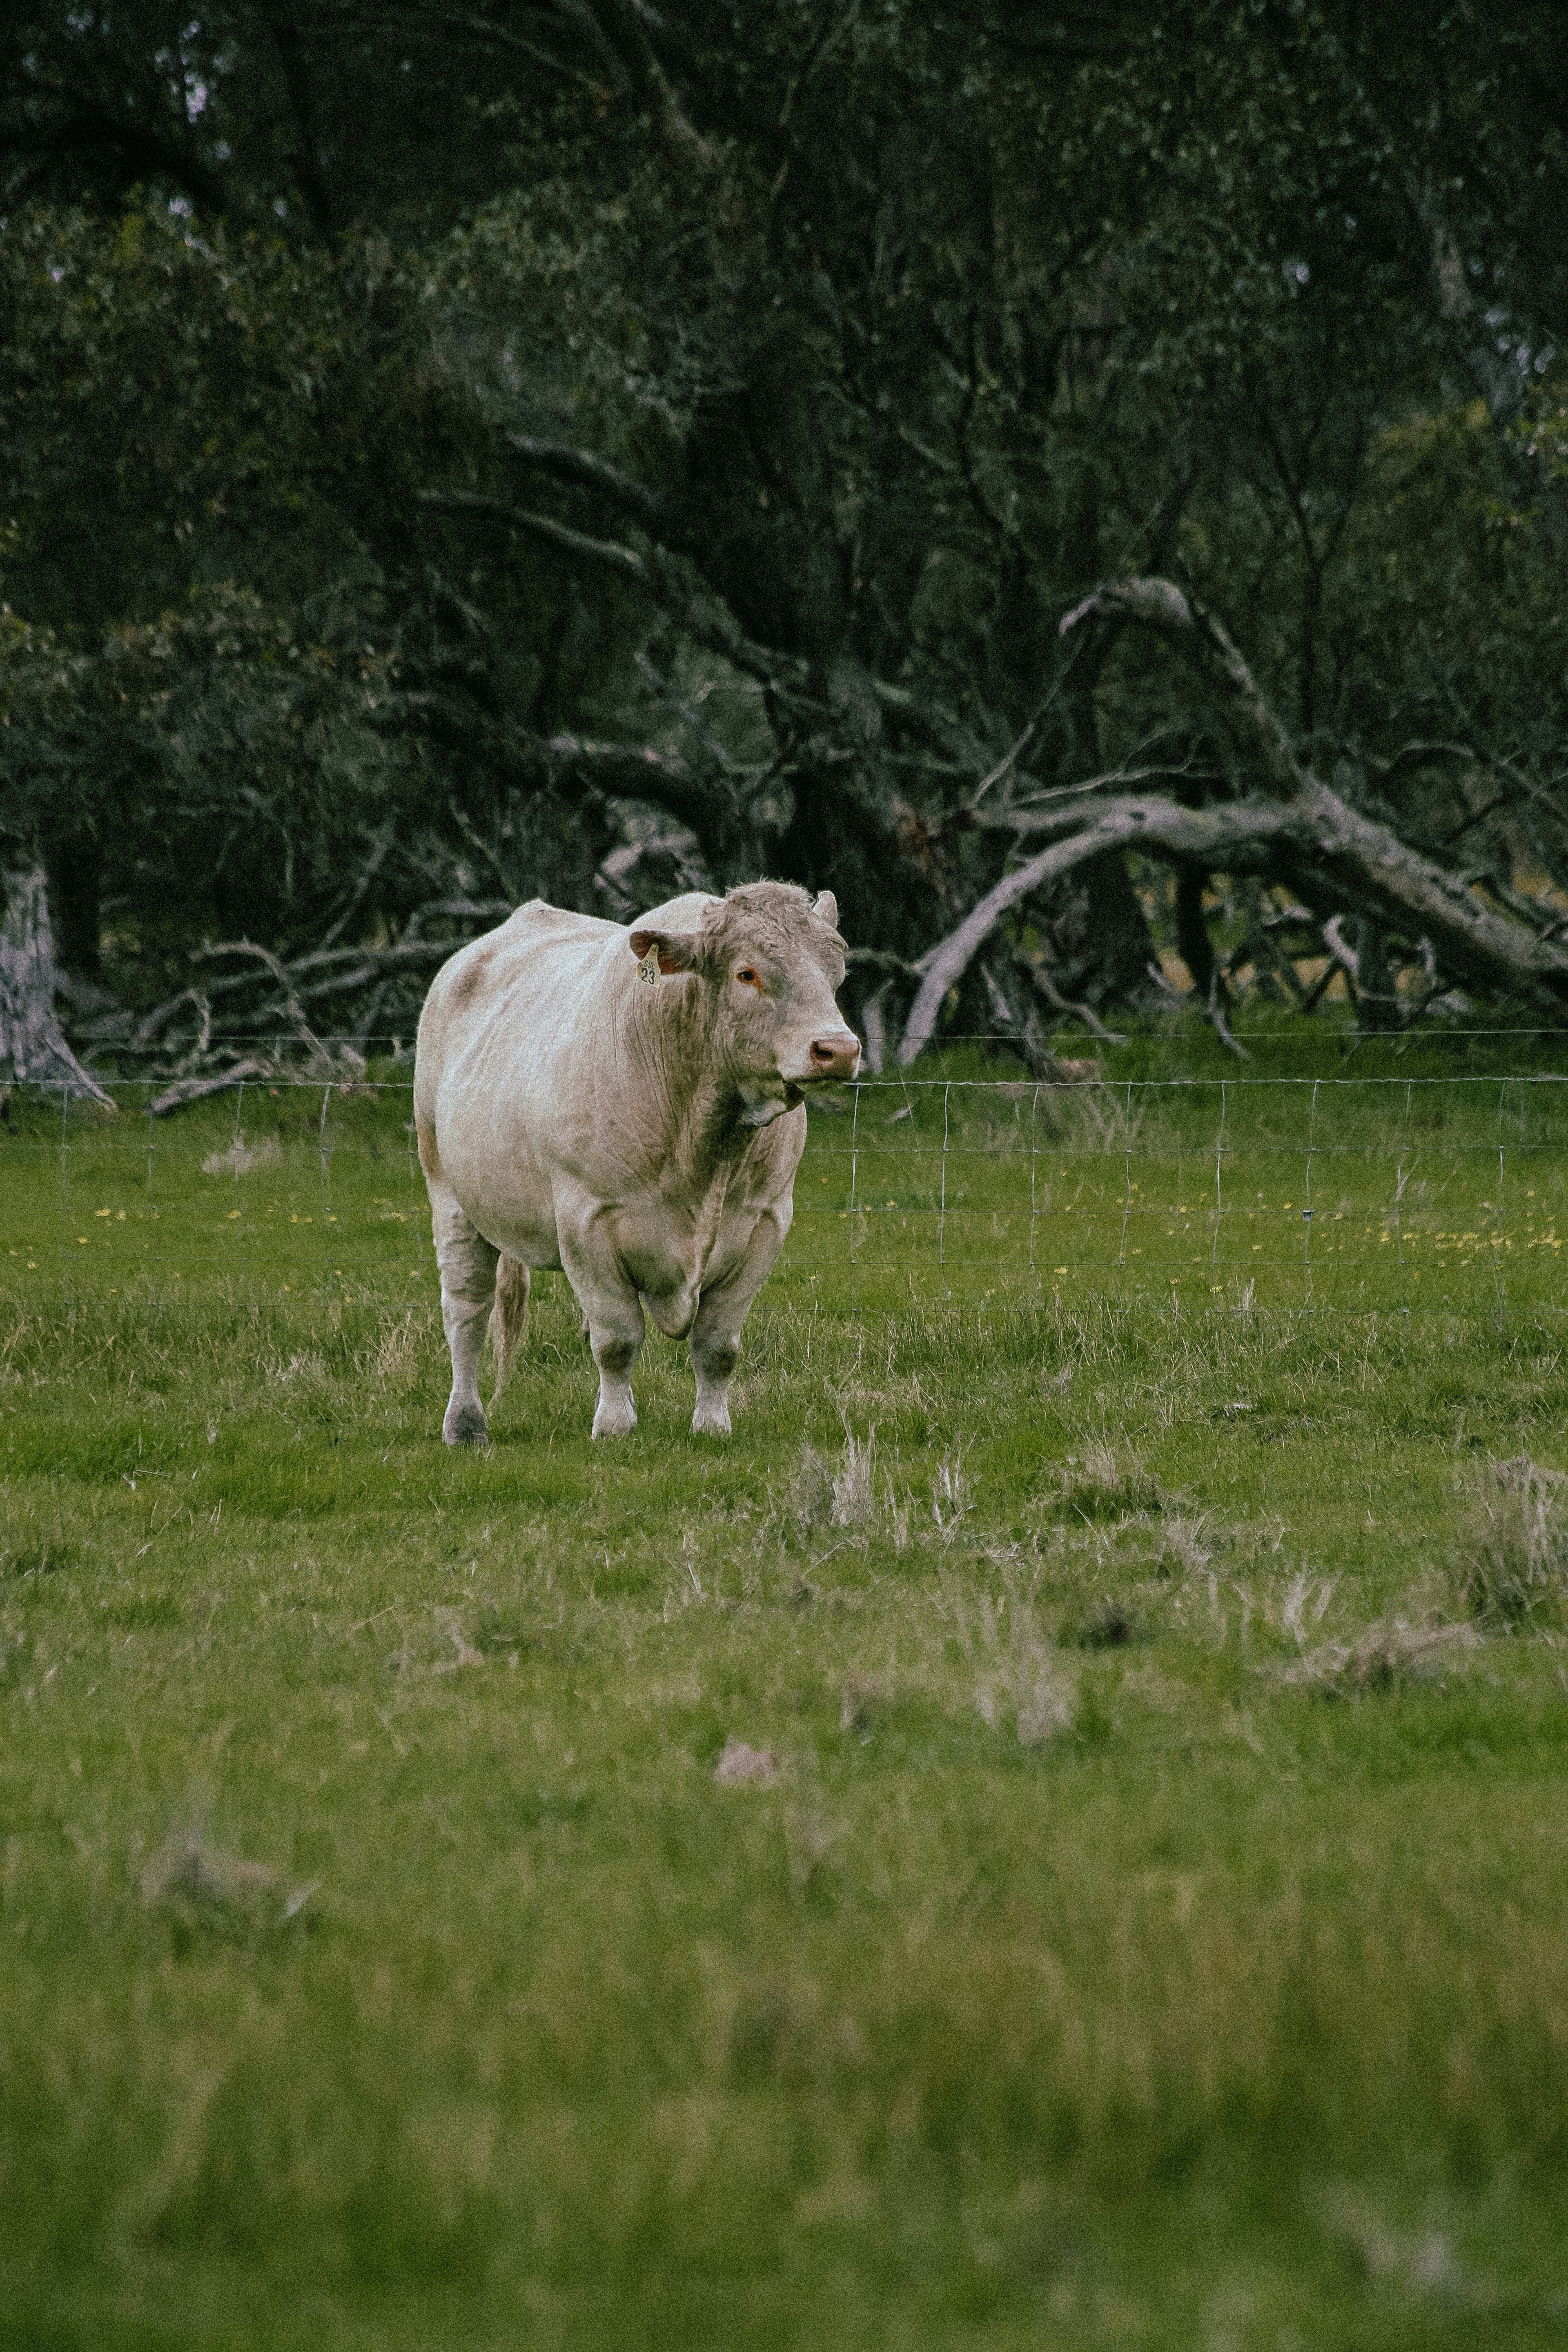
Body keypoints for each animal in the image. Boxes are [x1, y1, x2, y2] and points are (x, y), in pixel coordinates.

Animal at [412, 881, 860, 1443]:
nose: (838, 1050)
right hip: (448, 1193)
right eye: (747, 974)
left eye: (836, 972)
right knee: (467, 1310)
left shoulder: (767, 1222)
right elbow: (616, 1339)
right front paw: (614, 1426)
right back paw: (465, 1423)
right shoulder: (586, 1221)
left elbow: (718, 1346)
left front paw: (711, 1427)